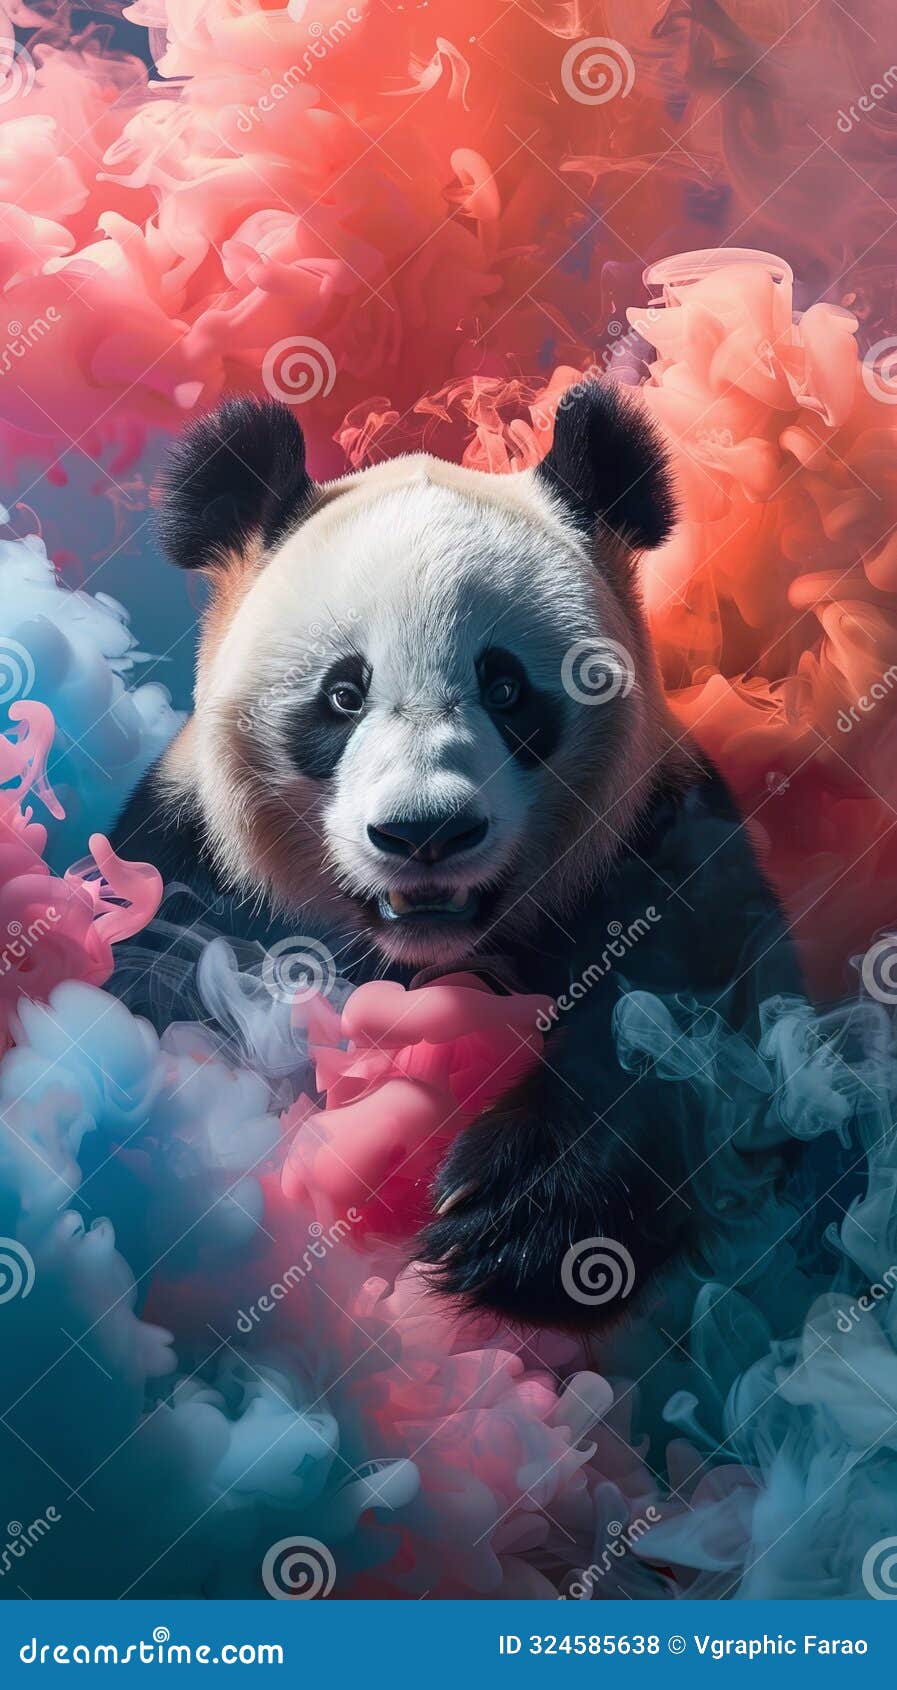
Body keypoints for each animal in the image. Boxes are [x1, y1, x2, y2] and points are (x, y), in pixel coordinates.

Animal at [113, 382, 801, 1330]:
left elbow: (696, 1031)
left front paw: (520, 1216)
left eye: (506, 688)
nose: (425, 832)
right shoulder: (191, 869)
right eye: (343, 694)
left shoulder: (663, 847)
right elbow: (158, 989)